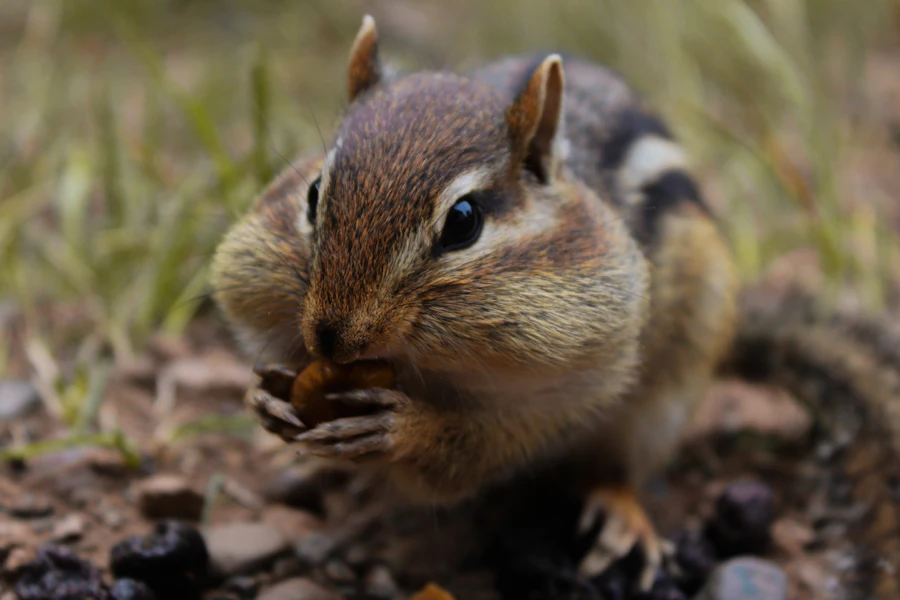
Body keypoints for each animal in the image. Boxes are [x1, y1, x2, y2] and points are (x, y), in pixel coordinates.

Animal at [211, 15, 900, 595]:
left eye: (463, 222)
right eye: (313, 194)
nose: (332, 339)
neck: (416, 366)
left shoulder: (577, 376)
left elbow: (491, 443)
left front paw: (404, 429)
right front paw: (263, 398)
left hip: (669, 388)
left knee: (620, 464)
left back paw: (622, 516)